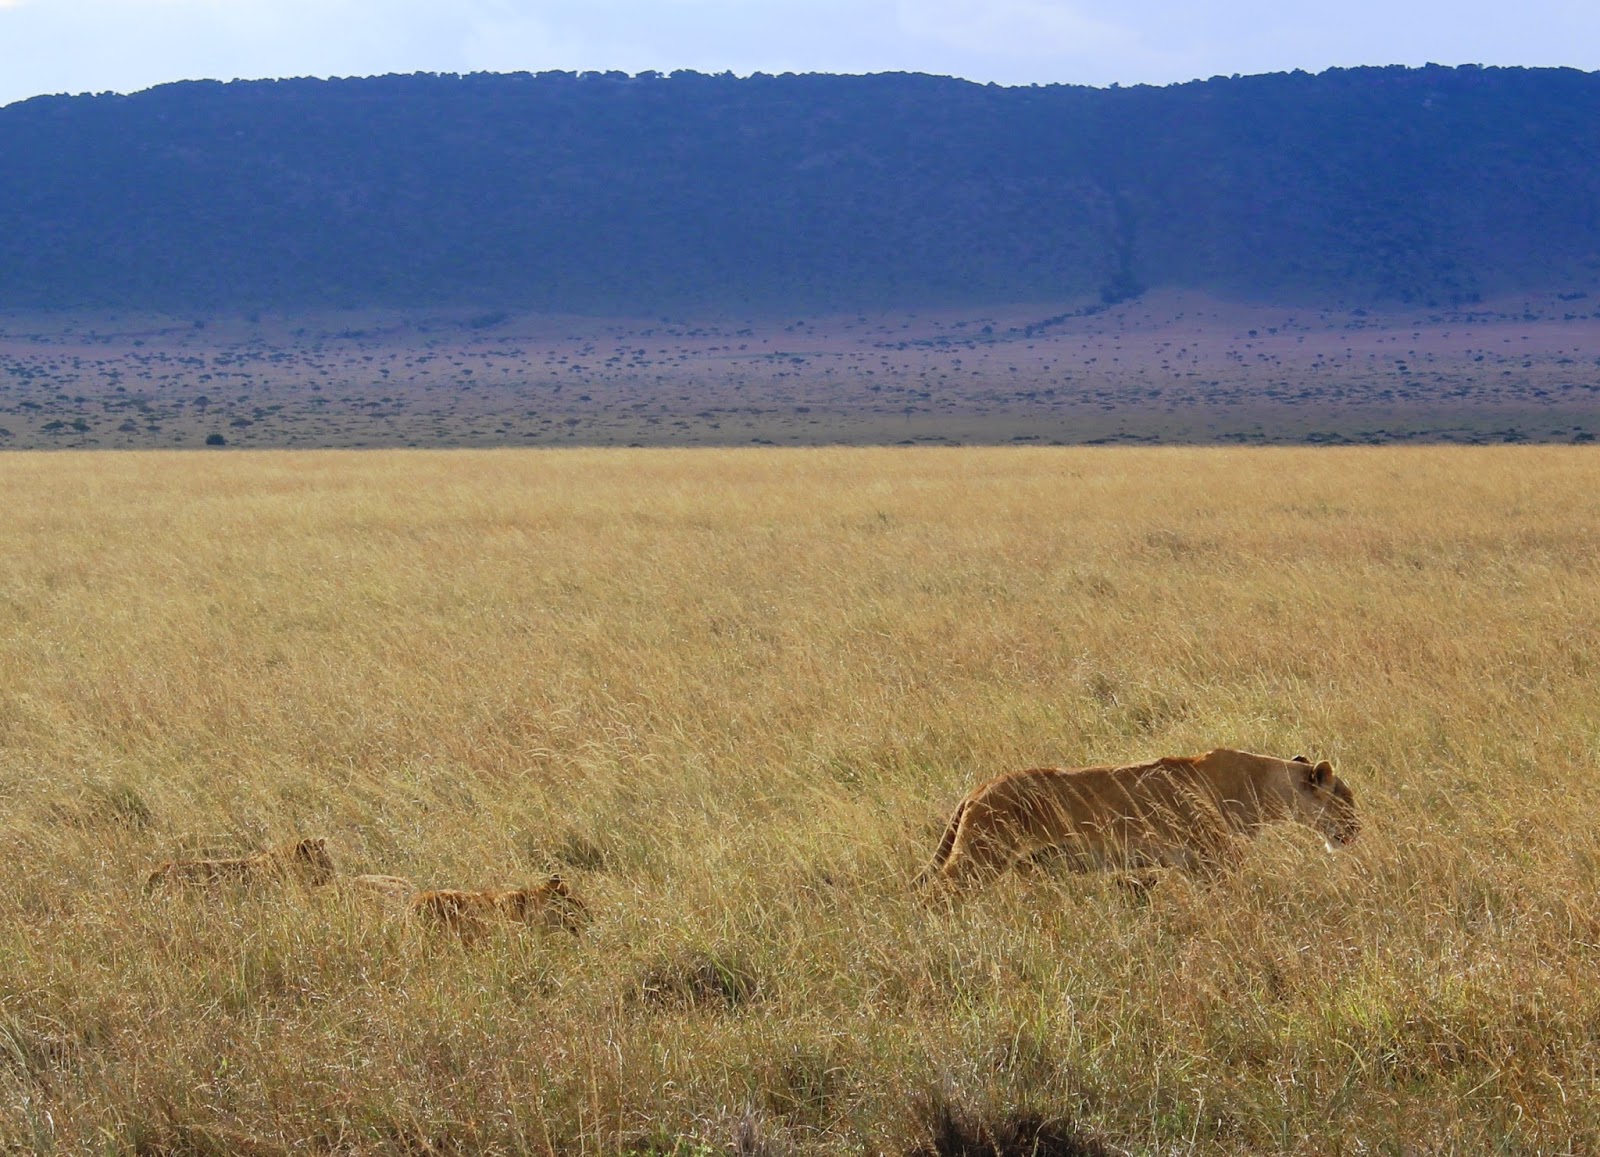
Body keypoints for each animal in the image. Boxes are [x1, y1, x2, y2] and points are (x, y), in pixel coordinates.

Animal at [917, 749, 1358, 886]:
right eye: (1346, 801)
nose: (1357, 830)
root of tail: (977, 790)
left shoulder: (1192, 864)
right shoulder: (1215, 858)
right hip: (980, 856)